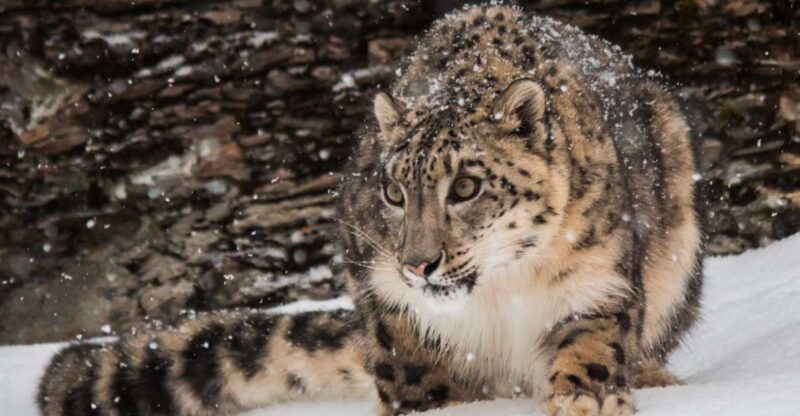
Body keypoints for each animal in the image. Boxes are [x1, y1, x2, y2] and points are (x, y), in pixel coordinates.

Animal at [38, 5, 703, 416]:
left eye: (466, 186)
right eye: (393, 192)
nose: (418, 265)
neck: (500, 293)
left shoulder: (598, 279)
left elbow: (591, 343)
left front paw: (585, 398)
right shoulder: (383, 291)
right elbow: (412, 365)